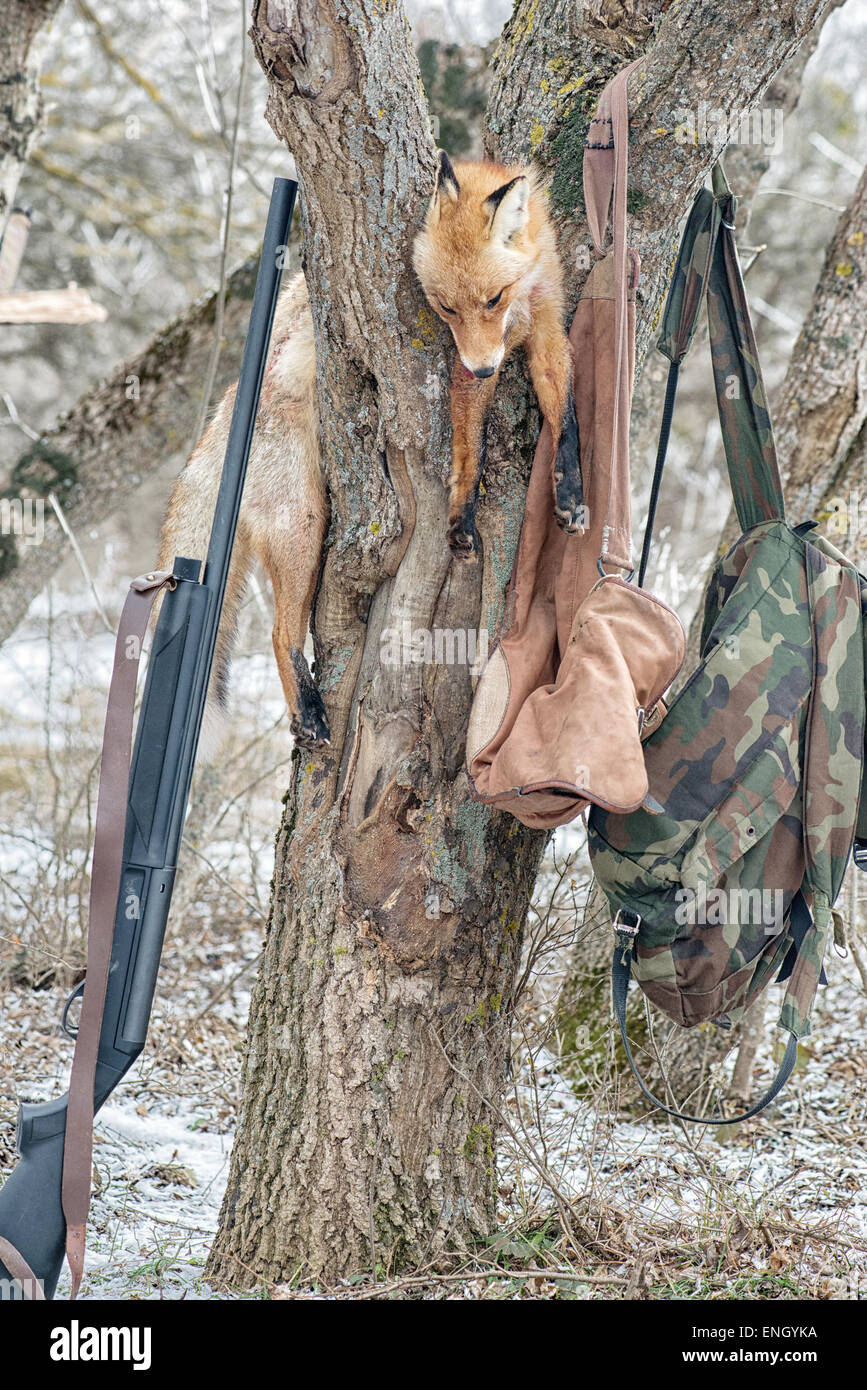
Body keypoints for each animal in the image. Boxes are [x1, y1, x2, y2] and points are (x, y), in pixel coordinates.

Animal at [157, 152, 578, 748]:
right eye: (444, 308)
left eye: (491, 298)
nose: (483, 369)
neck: (517, 306)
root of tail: (217, 436)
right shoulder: (459, 366)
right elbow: (468, 453)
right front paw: (461, 516)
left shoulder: (544, 328)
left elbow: (566, 419)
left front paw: (572, 492)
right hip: (305, 527)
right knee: (280, 632)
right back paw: (308, 711)